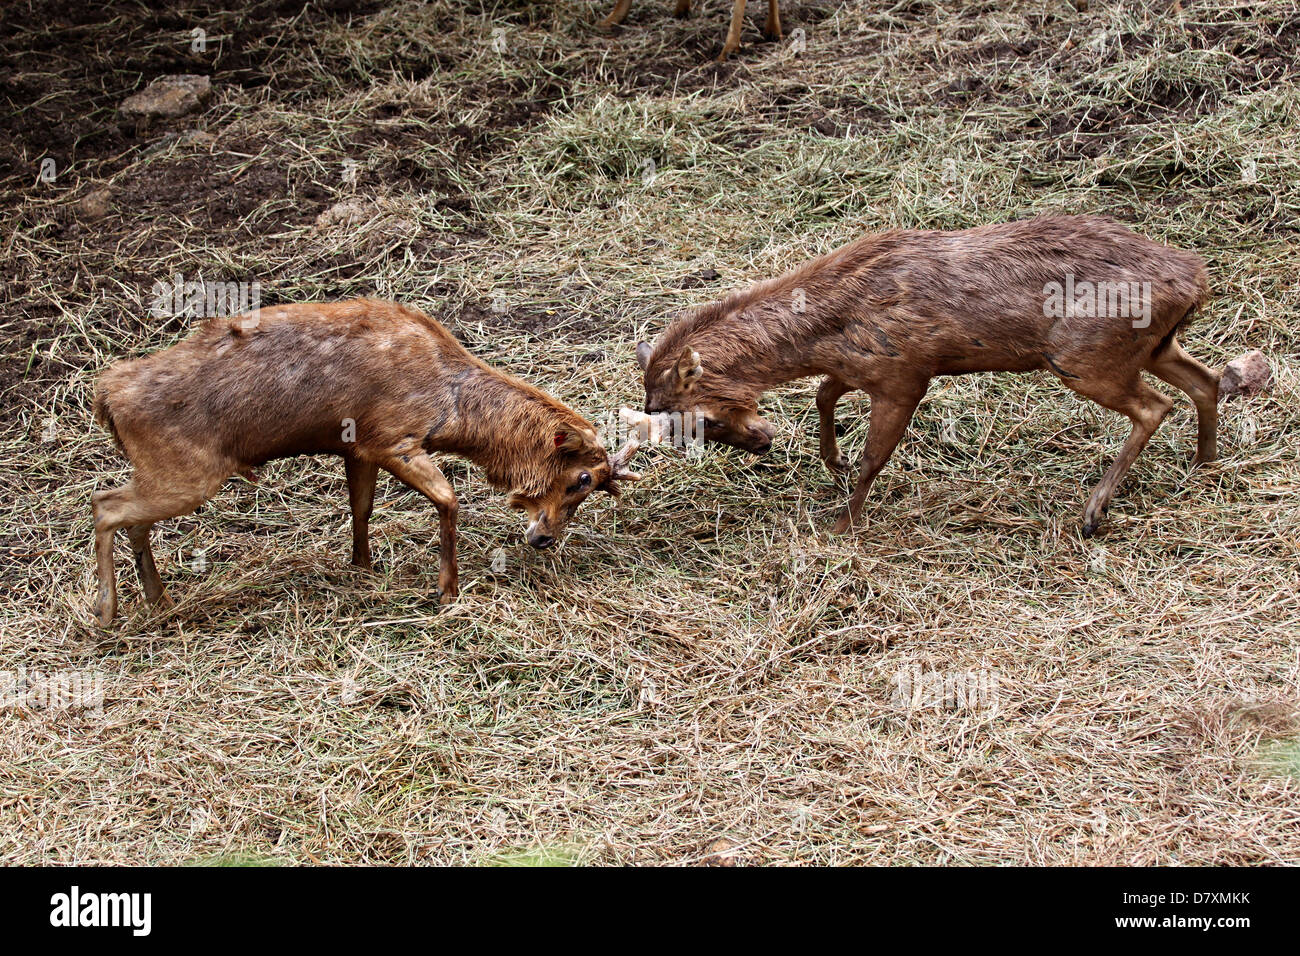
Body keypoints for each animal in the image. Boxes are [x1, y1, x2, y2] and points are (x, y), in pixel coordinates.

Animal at [90, 299, 643, 626]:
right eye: (581, 478)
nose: (544, 538)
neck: (450, 412)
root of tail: (107, 398)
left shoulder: (356, 449)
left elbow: (361, 508)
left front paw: (363, 568)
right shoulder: (391, 438)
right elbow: (448, 499)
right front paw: (446, 592)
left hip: (165, 471)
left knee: (133, 518)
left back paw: (158, 598)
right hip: (187, 471)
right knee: (104, 503)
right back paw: (105, 612)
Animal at [635, 215, 1221, 537]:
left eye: (701, 420)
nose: (761, 443)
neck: (825, 336)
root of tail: (1196, 279)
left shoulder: (906, 373)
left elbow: (874, 457)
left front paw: (841, 526)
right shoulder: (865, 367)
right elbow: (824, 394)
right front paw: (833, 461)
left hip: (1085, 357)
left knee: (1155, 406)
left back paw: (1093, 510)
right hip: (1152, 345)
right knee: (1205, 380)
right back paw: (1204, 464)